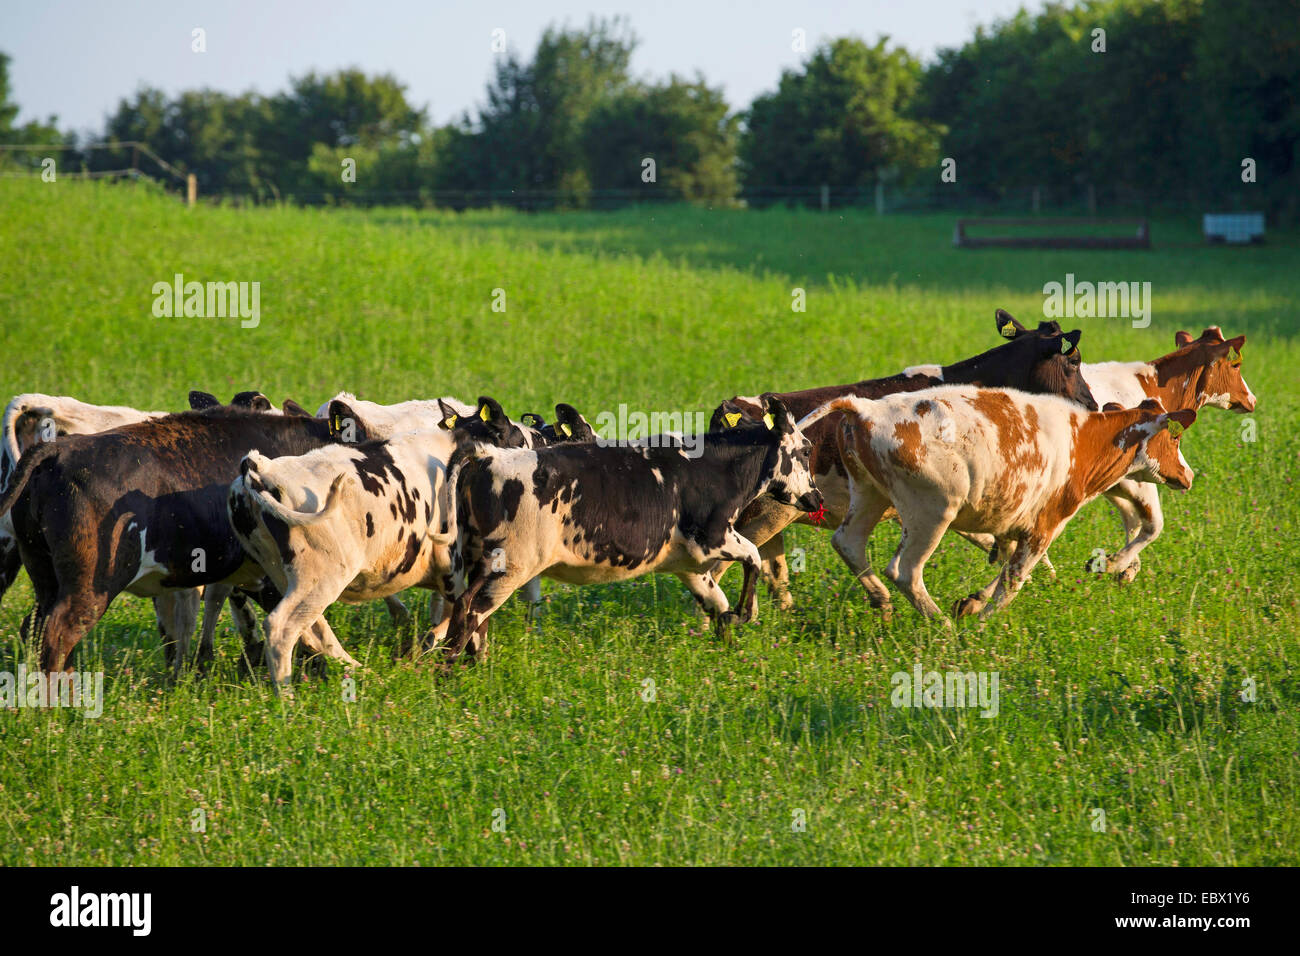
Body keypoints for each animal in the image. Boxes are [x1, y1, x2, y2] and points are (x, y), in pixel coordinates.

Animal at [0, 406, 365, 678]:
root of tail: (57, 450)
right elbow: (308, 626)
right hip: (89, 587)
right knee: (58, 634)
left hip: (45, 575)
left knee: (34, 627)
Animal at [436, 394, 824, 664]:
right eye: (805, 450)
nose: (816, 497)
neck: (714, 468)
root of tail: (487, 456)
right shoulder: (711, 538)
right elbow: (754, 557)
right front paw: (747, 613)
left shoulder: (689, 565)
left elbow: (717, 605)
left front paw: (730, 647)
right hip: (511, 566)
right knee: (472, 609)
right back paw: (450, 670)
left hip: (482, 561)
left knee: (468, 611)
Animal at [709, 311, 1099, 608]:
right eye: (1074, 361)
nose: (1093, 406)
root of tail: (732, 407)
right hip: (763, 518)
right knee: (716, 569)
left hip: (772, 521)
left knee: (775, 575)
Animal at [805, 387, 1197, 624]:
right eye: (1174, 438)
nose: (1188, 475)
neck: (1083, 439)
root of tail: (865, 408)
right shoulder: (1045, 525)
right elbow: (1014, 580)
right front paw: (982, 623)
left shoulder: (1011, 523)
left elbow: (1006, 566)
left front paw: (974, 602)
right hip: (930, 513)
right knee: (905, 571)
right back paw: (941, 625)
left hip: (869, 494)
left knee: (848, 543)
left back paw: (883, 602)